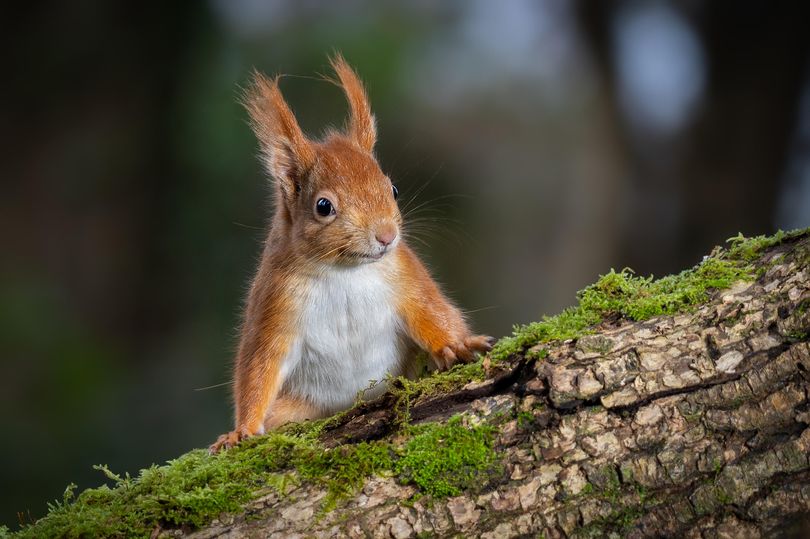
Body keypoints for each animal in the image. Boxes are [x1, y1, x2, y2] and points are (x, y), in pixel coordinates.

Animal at [210, 55, 492, 452]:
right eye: (323, 206)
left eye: (393, 188)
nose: (387, 236)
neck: (344, 272)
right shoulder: (275, 304)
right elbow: (259, 365)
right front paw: (241, 430)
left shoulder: (406, 278)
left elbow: (432, 313)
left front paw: (457, 346)